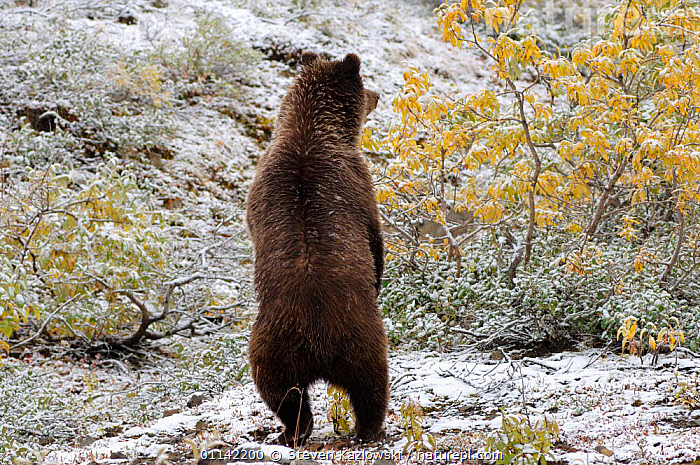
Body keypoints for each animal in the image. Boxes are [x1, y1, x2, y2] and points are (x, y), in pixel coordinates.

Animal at [245, 52, 388, 447]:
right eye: (366, 85)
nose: (378, 95)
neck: (311, 128)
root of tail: (318, 347)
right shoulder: (358, 182)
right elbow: (375, 238)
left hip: (272, 348)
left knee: (283, 394)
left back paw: (292, 431)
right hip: (360, 335)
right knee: (371, 386)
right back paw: (368, 428)